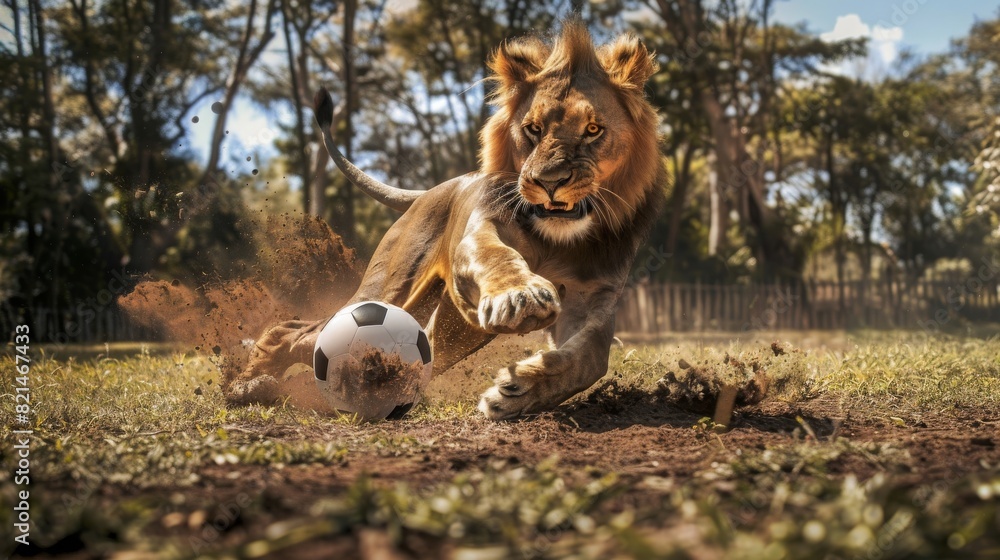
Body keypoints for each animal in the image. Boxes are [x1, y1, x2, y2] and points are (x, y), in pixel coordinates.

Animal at [230, 21, 665, 420]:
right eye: (533, 129)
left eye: (592, 130)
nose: (549, 182)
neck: (561, 239)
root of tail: (434, 188)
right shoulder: (480, 236)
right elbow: (496, 257)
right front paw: (519, 295)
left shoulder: (594, 299)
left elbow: (592, 358)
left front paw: (517, 392)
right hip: (392, 290)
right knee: (298, 331)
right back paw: (246, 385)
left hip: (450, 332)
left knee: (417, 351)